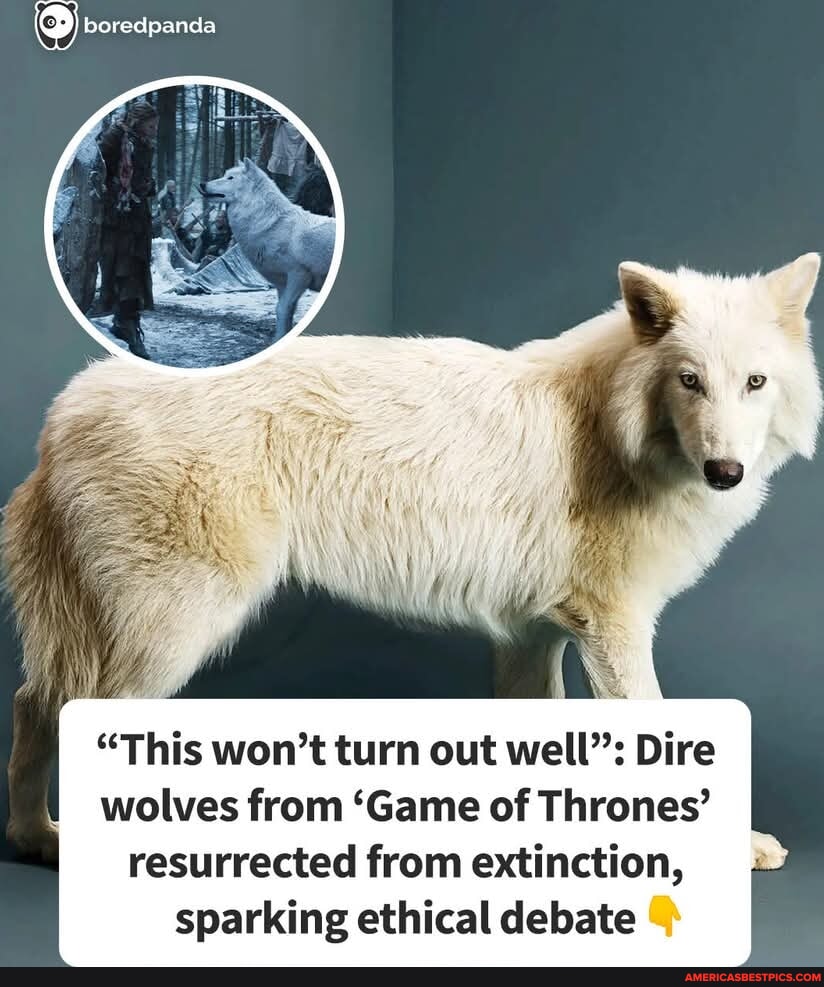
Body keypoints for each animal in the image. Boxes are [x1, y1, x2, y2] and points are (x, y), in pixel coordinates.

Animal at [3, 254, 820, 869]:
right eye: (690, 380)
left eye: (754, 383)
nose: (725, 472)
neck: (612, 431)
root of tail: (66, 407)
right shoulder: (612, 629)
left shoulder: (534, 637)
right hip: (178, 632)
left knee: (31, 704)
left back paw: (36, 840)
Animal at [200, 157, 335, 339]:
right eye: (225, 175)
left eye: (230, 178)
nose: (202, 184)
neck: (273, 224)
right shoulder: (281, 284)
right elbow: (285, 313)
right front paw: (280, 338)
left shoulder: (298, 276)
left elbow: (282, 310)